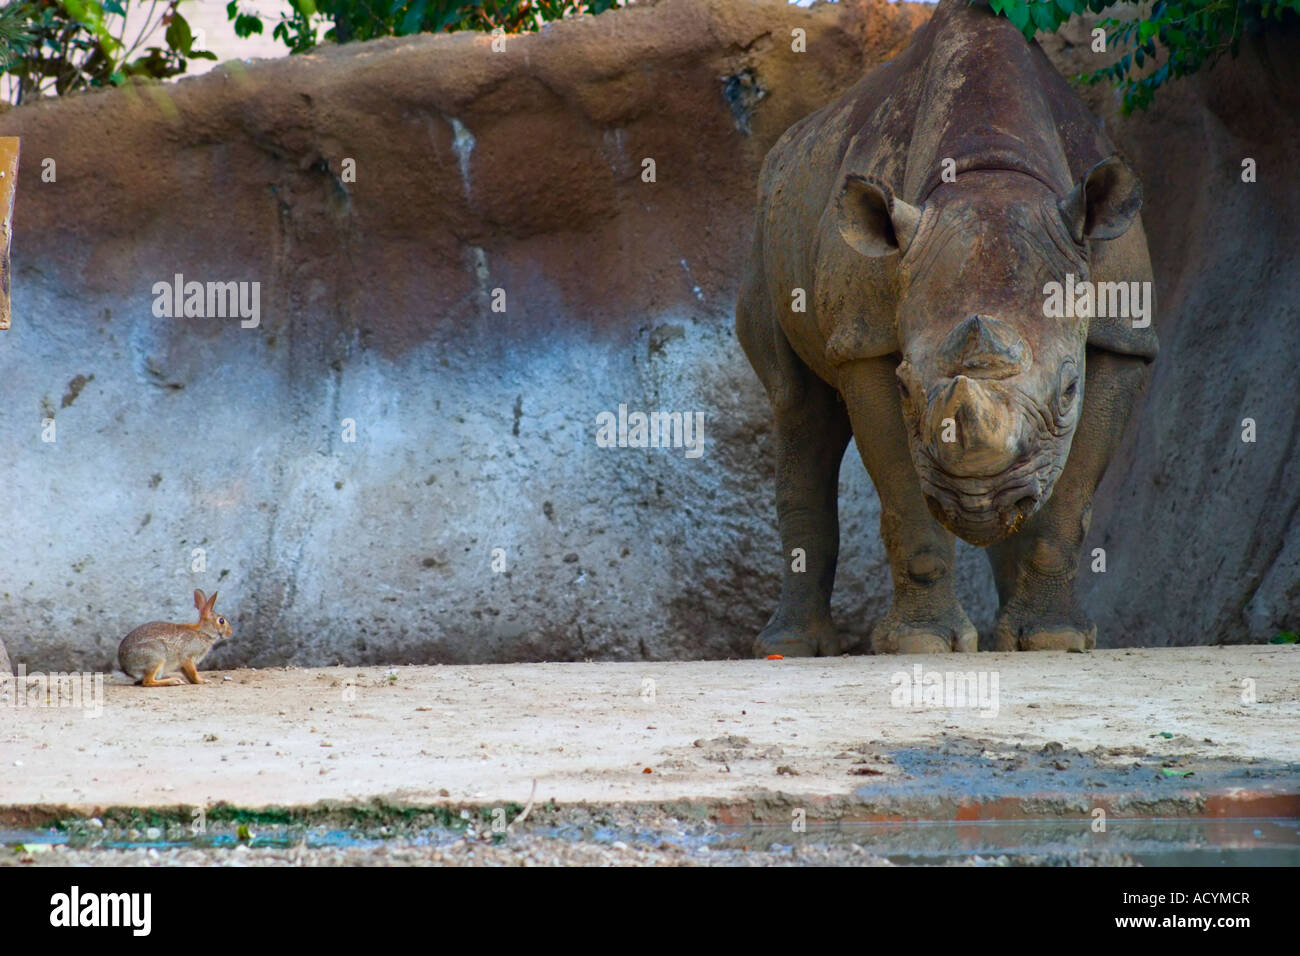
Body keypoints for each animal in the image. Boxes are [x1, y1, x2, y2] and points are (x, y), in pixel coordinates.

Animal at [737, 0, 1157, 654]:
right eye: (906, 388)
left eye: (1069, 391)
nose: (979, 502)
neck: (994, 177)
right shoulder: (866, 339)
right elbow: (905, 499)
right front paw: (921, 644)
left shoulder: (1123, 334)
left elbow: (1071, 498)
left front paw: (1056, 638)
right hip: (764, 225)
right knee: (797, 404)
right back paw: (792, 649)